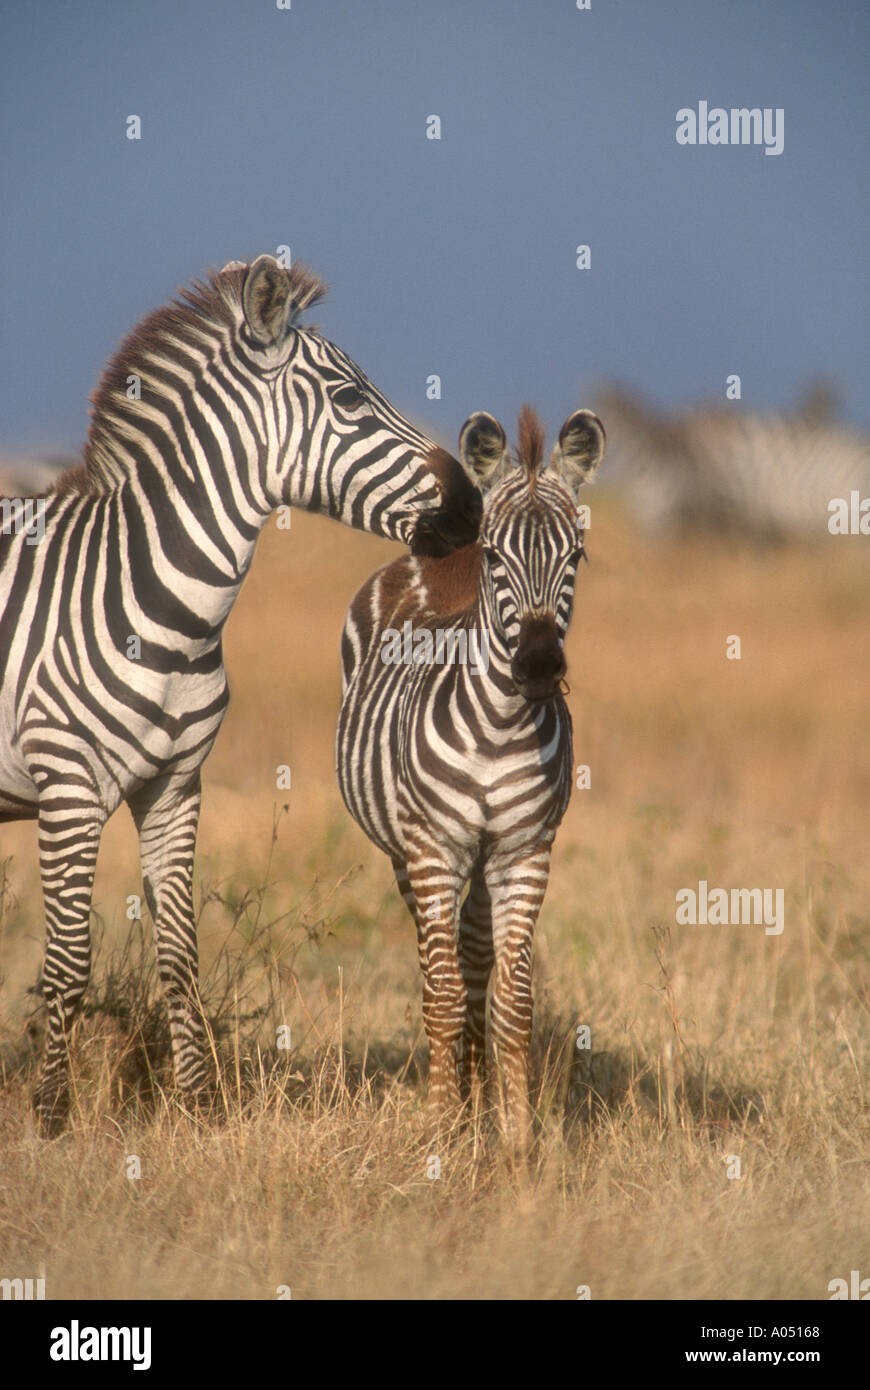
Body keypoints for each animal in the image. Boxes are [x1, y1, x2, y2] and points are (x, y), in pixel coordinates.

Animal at [0, 253, 480, 1134]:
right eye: (350, 399)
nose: (469, 504)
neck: (158, 608)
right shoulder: (68, 787)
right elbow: (67, 961)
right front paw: (50, 1117)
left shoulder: (175, 785)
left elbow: (180, 952)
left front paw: (194, 1107)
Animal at [336, 404, 605, 1152]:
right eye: (496, 558)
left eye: (576, 556)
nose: (539, 667)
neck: (500, 729)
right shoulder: (433, 850)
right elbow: (443, 994)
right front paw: (439, 1132)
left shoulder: (523, 853)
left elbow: (510, 999)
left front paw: (513, 1138)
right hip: (407, 852)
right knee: (442, 966)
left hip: (484, 864)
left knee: (476, 961)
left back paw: (478, 1099)